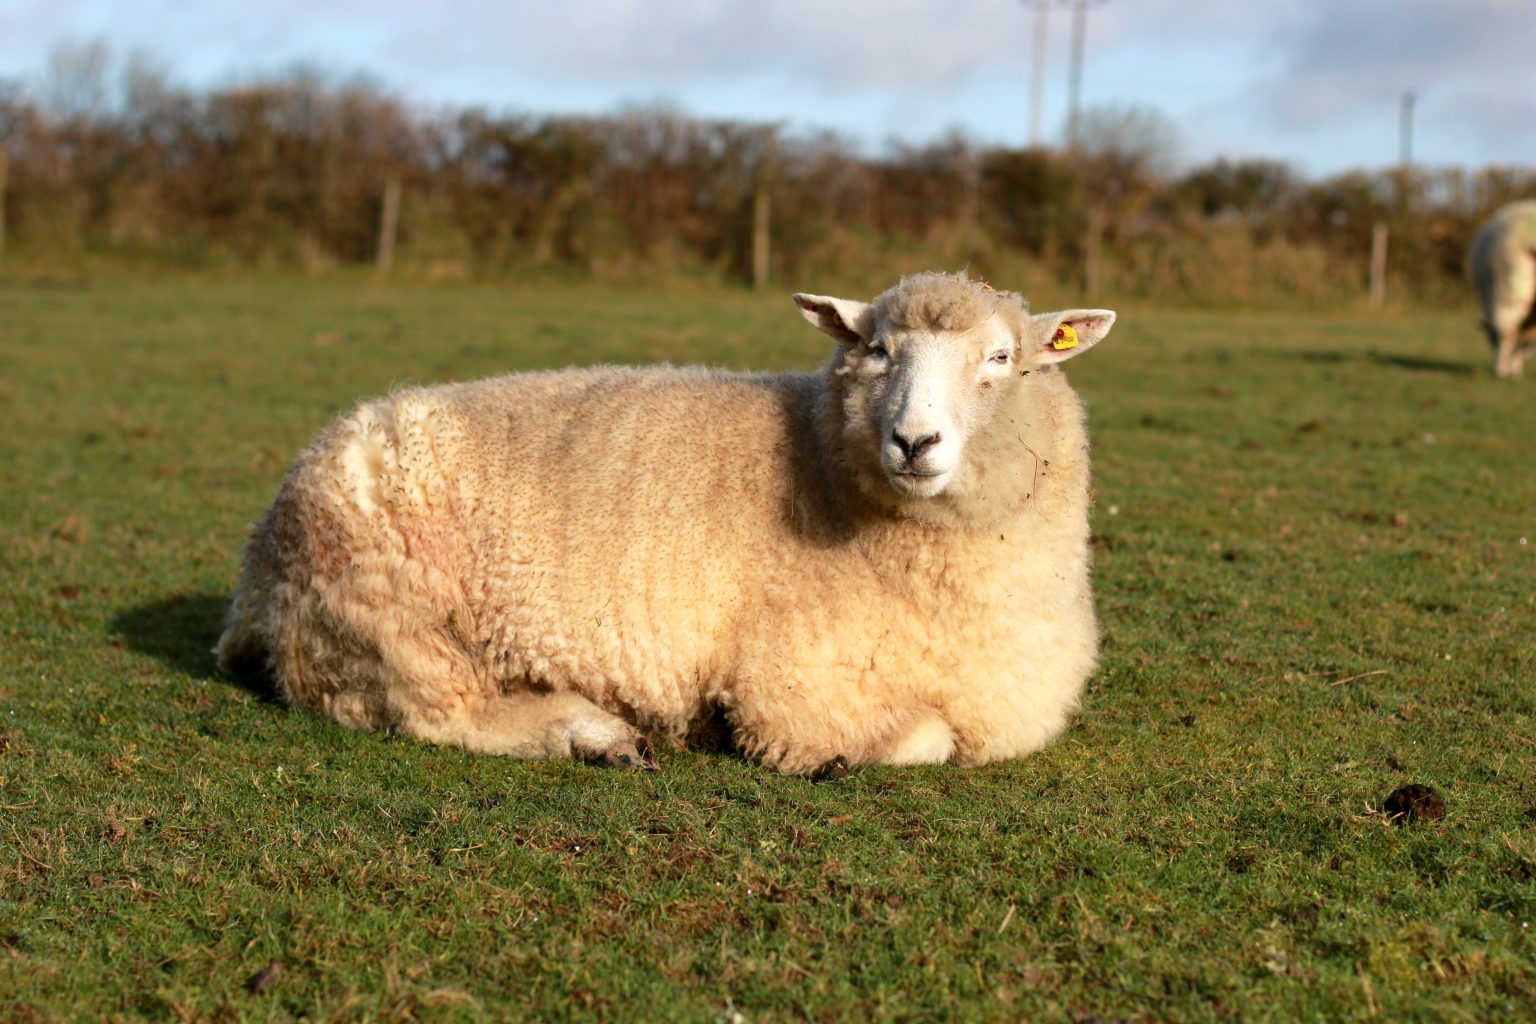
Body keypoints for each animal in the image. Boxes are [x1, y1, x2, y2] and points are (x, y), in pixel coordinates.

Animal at [216, 272, 1116, 775]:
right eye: (878, 351)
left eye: (1001, 358)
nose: (914, 441)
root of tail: (255, 575)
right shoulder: (790, 694)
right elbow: (923, 740)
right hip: (390, 619)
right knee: (439, 715)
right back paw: (592, 733)